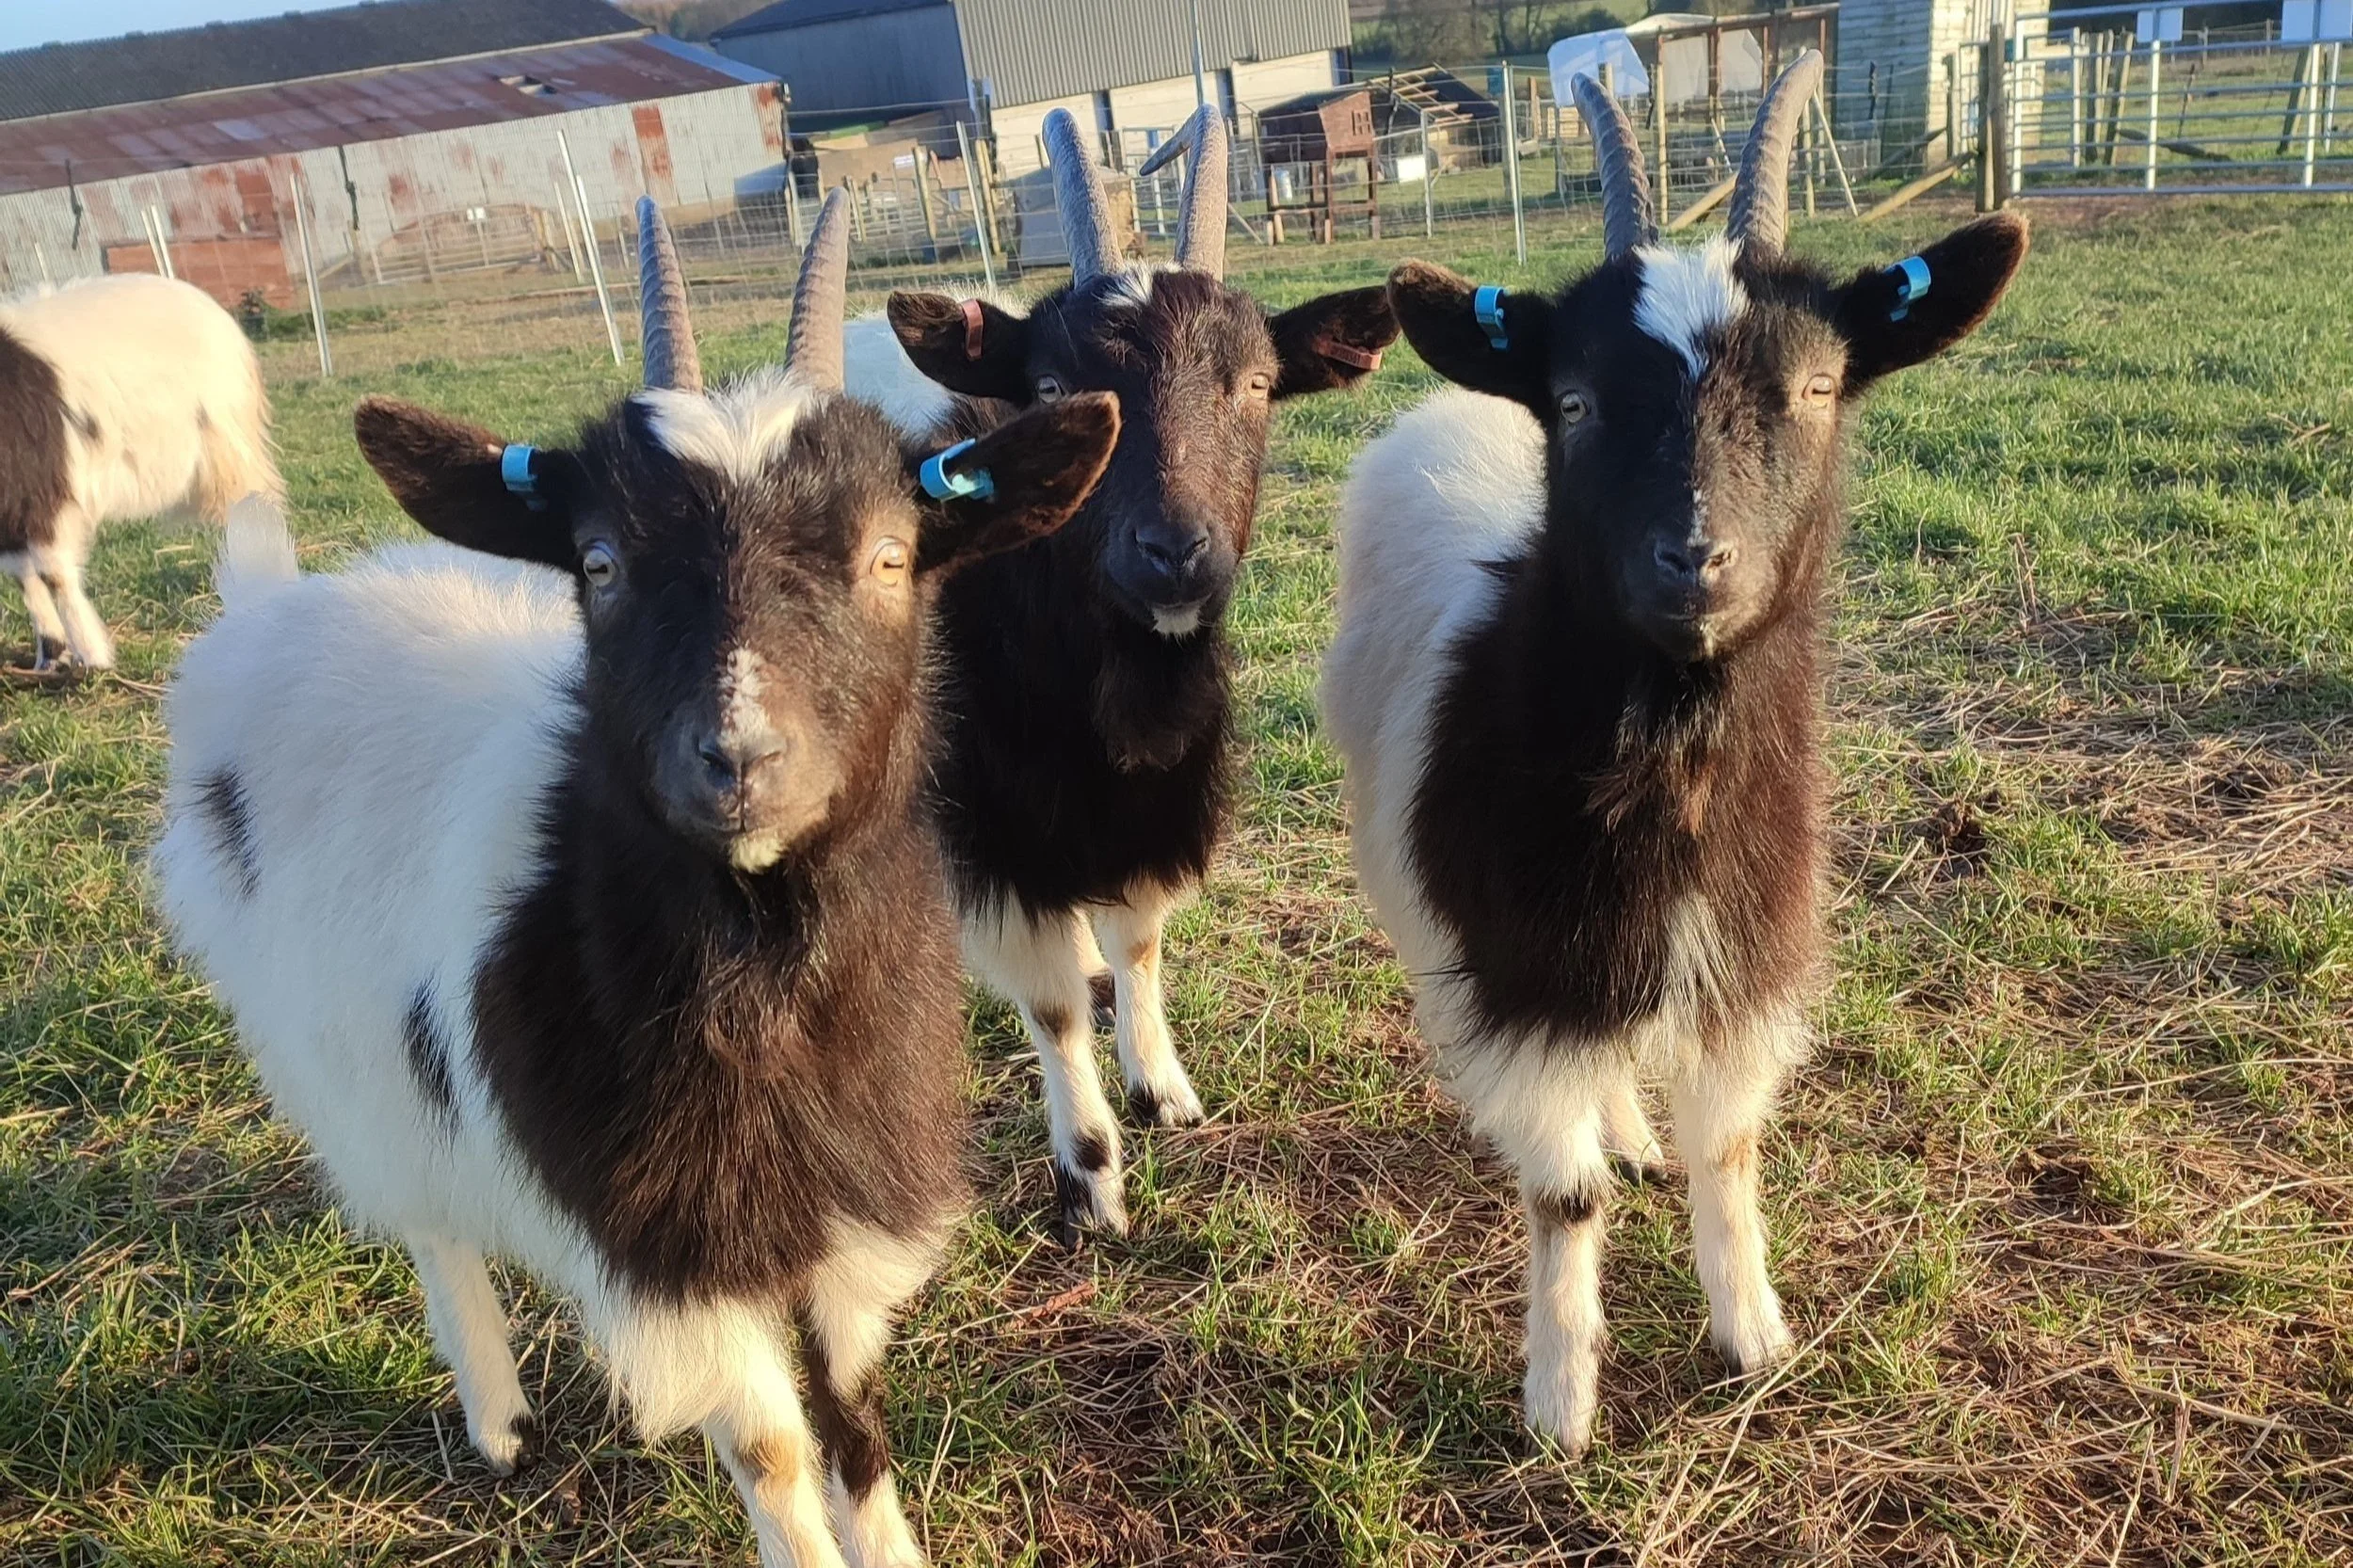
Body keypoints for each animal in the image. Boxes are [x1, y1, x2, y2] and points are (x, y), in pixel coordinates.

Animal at [0, 273, 279, 671]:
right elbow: (24, 578)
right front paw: (49, 657)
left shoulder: (42, 493)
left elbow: (53, 575)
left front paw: (92, 656)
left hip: (225, 446)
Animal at [150, 193, 1119, 1567]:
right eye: (599, 563)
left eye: (891, 556)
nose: (740, 757)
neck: (770, 989)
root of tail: (268, 610)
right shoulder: (665, 1250)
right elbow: (773, 1452)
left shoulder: (841, 1211)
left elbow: (856, 1420)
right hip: (329, 1050)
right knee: (425, 1215)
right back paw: (499, 1420)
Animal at [844, 105, 1401, 1244]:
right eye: (1057, 389)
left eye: (1257, 384)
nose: (1174, 551)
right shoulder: (995, 835)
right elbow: (1050, 1004)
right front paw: (1091, 1181)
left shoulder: (1156, 800)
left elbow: (1138, 942)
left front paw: (1162, 1088)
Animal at [1319, 53, 2029, 1455]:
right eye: (1578, 399)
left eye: (1816, 389)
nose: (1694, 563)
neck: (1674, 779)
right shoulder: (1523, 967)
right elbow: (1563, 1198)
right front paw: (1558, 1401)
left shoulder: (1741, 955)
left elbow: (1730, 1150)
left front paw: (1753, 1335)